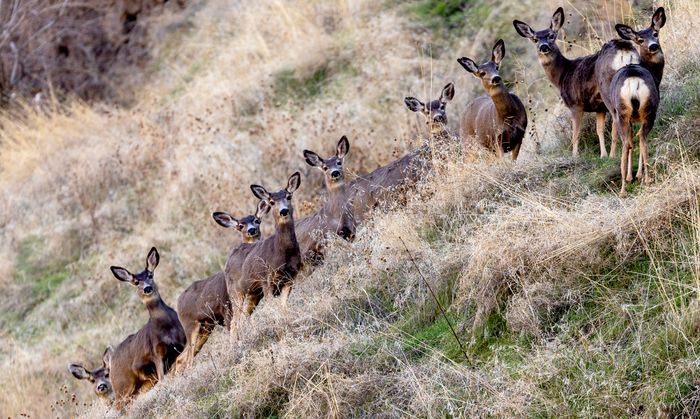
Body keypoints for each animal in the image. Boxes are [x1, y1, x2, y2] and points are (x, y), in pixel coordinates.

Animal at [108, 247, 186, 409]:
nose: (147, 288)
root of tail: (110, 363)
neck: (167, 328)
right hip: (122, 384)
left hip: (142, 383)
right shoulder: (155, 351)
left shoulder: (182, 341)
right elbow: (163, 378)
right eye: (136, 281)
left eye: (150, 275)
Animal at [175, 201, 270, 370]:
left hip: (205, 327)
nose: (251, 230)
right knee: (188, 358)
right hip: (191, 325)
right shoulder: (226, 308)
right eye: (240, 225)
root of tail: (177, 303)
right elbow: (235, 328)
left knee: (181, 358)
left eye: (257, 220)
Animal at [228, 172, 303, 338]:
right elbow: (271, 309)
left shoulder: (290, 277)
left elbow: (283, 306)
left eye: (288, 196)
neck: (282, 254)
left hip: (253, 293)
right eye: (272, 201)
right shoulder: (266, 279)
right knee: (234, 322)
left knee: (245, 316)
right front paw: (280, 332)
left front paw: (288, 328)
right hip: (235, 292)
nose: (283, 211)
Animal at [513, 7, 634, 159]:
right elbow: (599, 130)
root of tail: (622, 50)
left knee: (616, 118)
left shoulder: (575, 104)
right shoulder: (599, 107)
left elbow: (576, 134)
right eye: (535, 39)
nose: (543, 47)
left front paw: (575, 155)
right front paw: (603, 155)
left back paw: (614, 154)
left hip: (608, 89)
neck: (562, 75)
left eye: (551, 35)